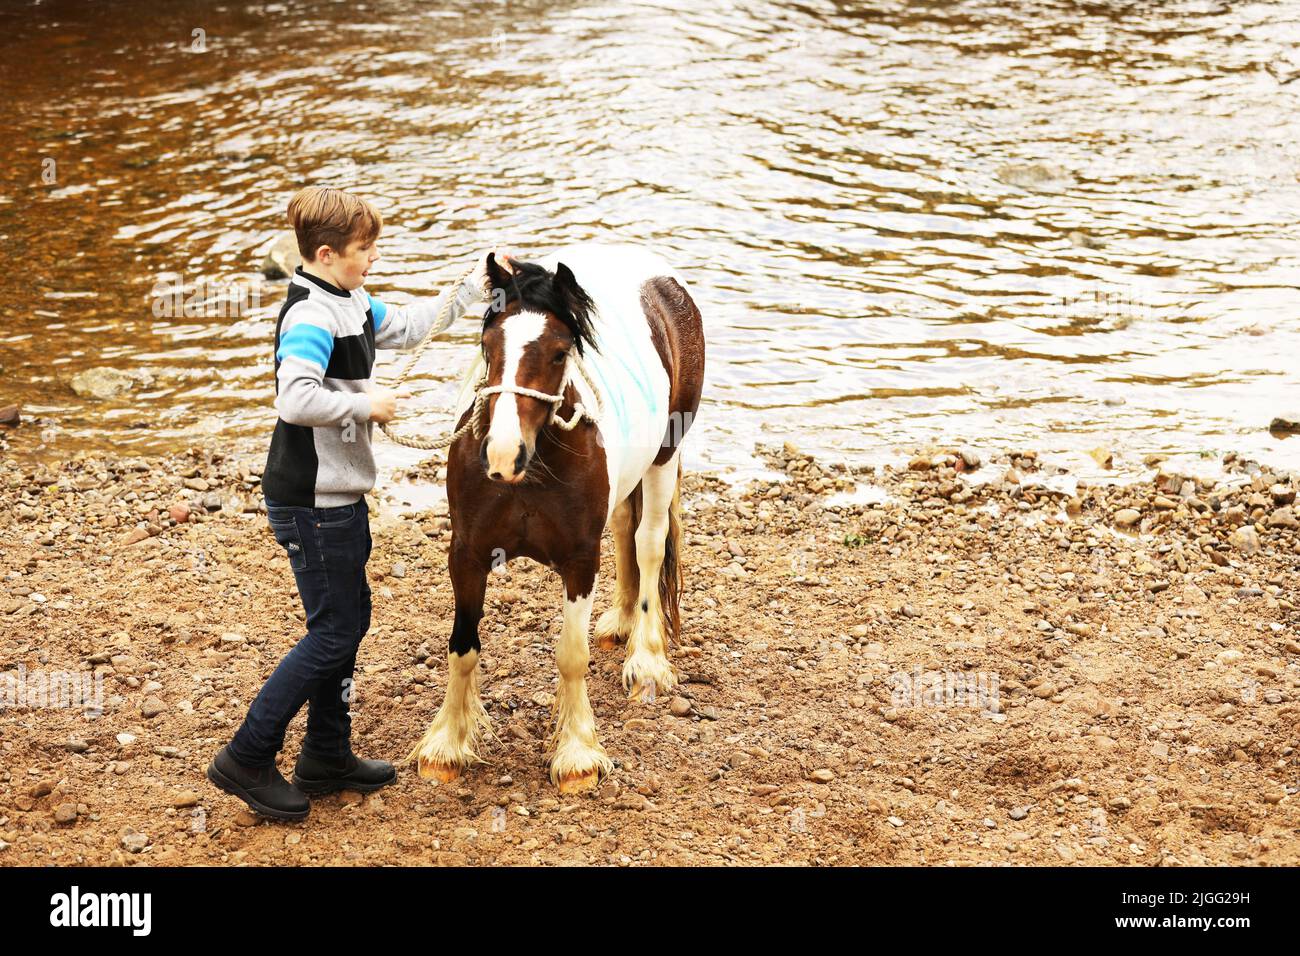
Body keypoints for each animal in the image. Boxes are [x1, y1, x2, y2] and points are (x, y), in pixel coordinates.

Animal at [406, 243, 705, 793]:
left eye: (561, 352)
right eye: (488, 345)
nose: (503, 454)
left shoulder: (579, 560)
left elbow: (571, 656)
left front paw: (577, 754)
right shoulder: (467, 554)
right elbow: (463, 647)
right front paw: (447, 744)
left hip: (664, 456)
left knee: (649, 542)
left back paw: (646, 660)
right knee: (624, 529)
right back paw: (621, 622)